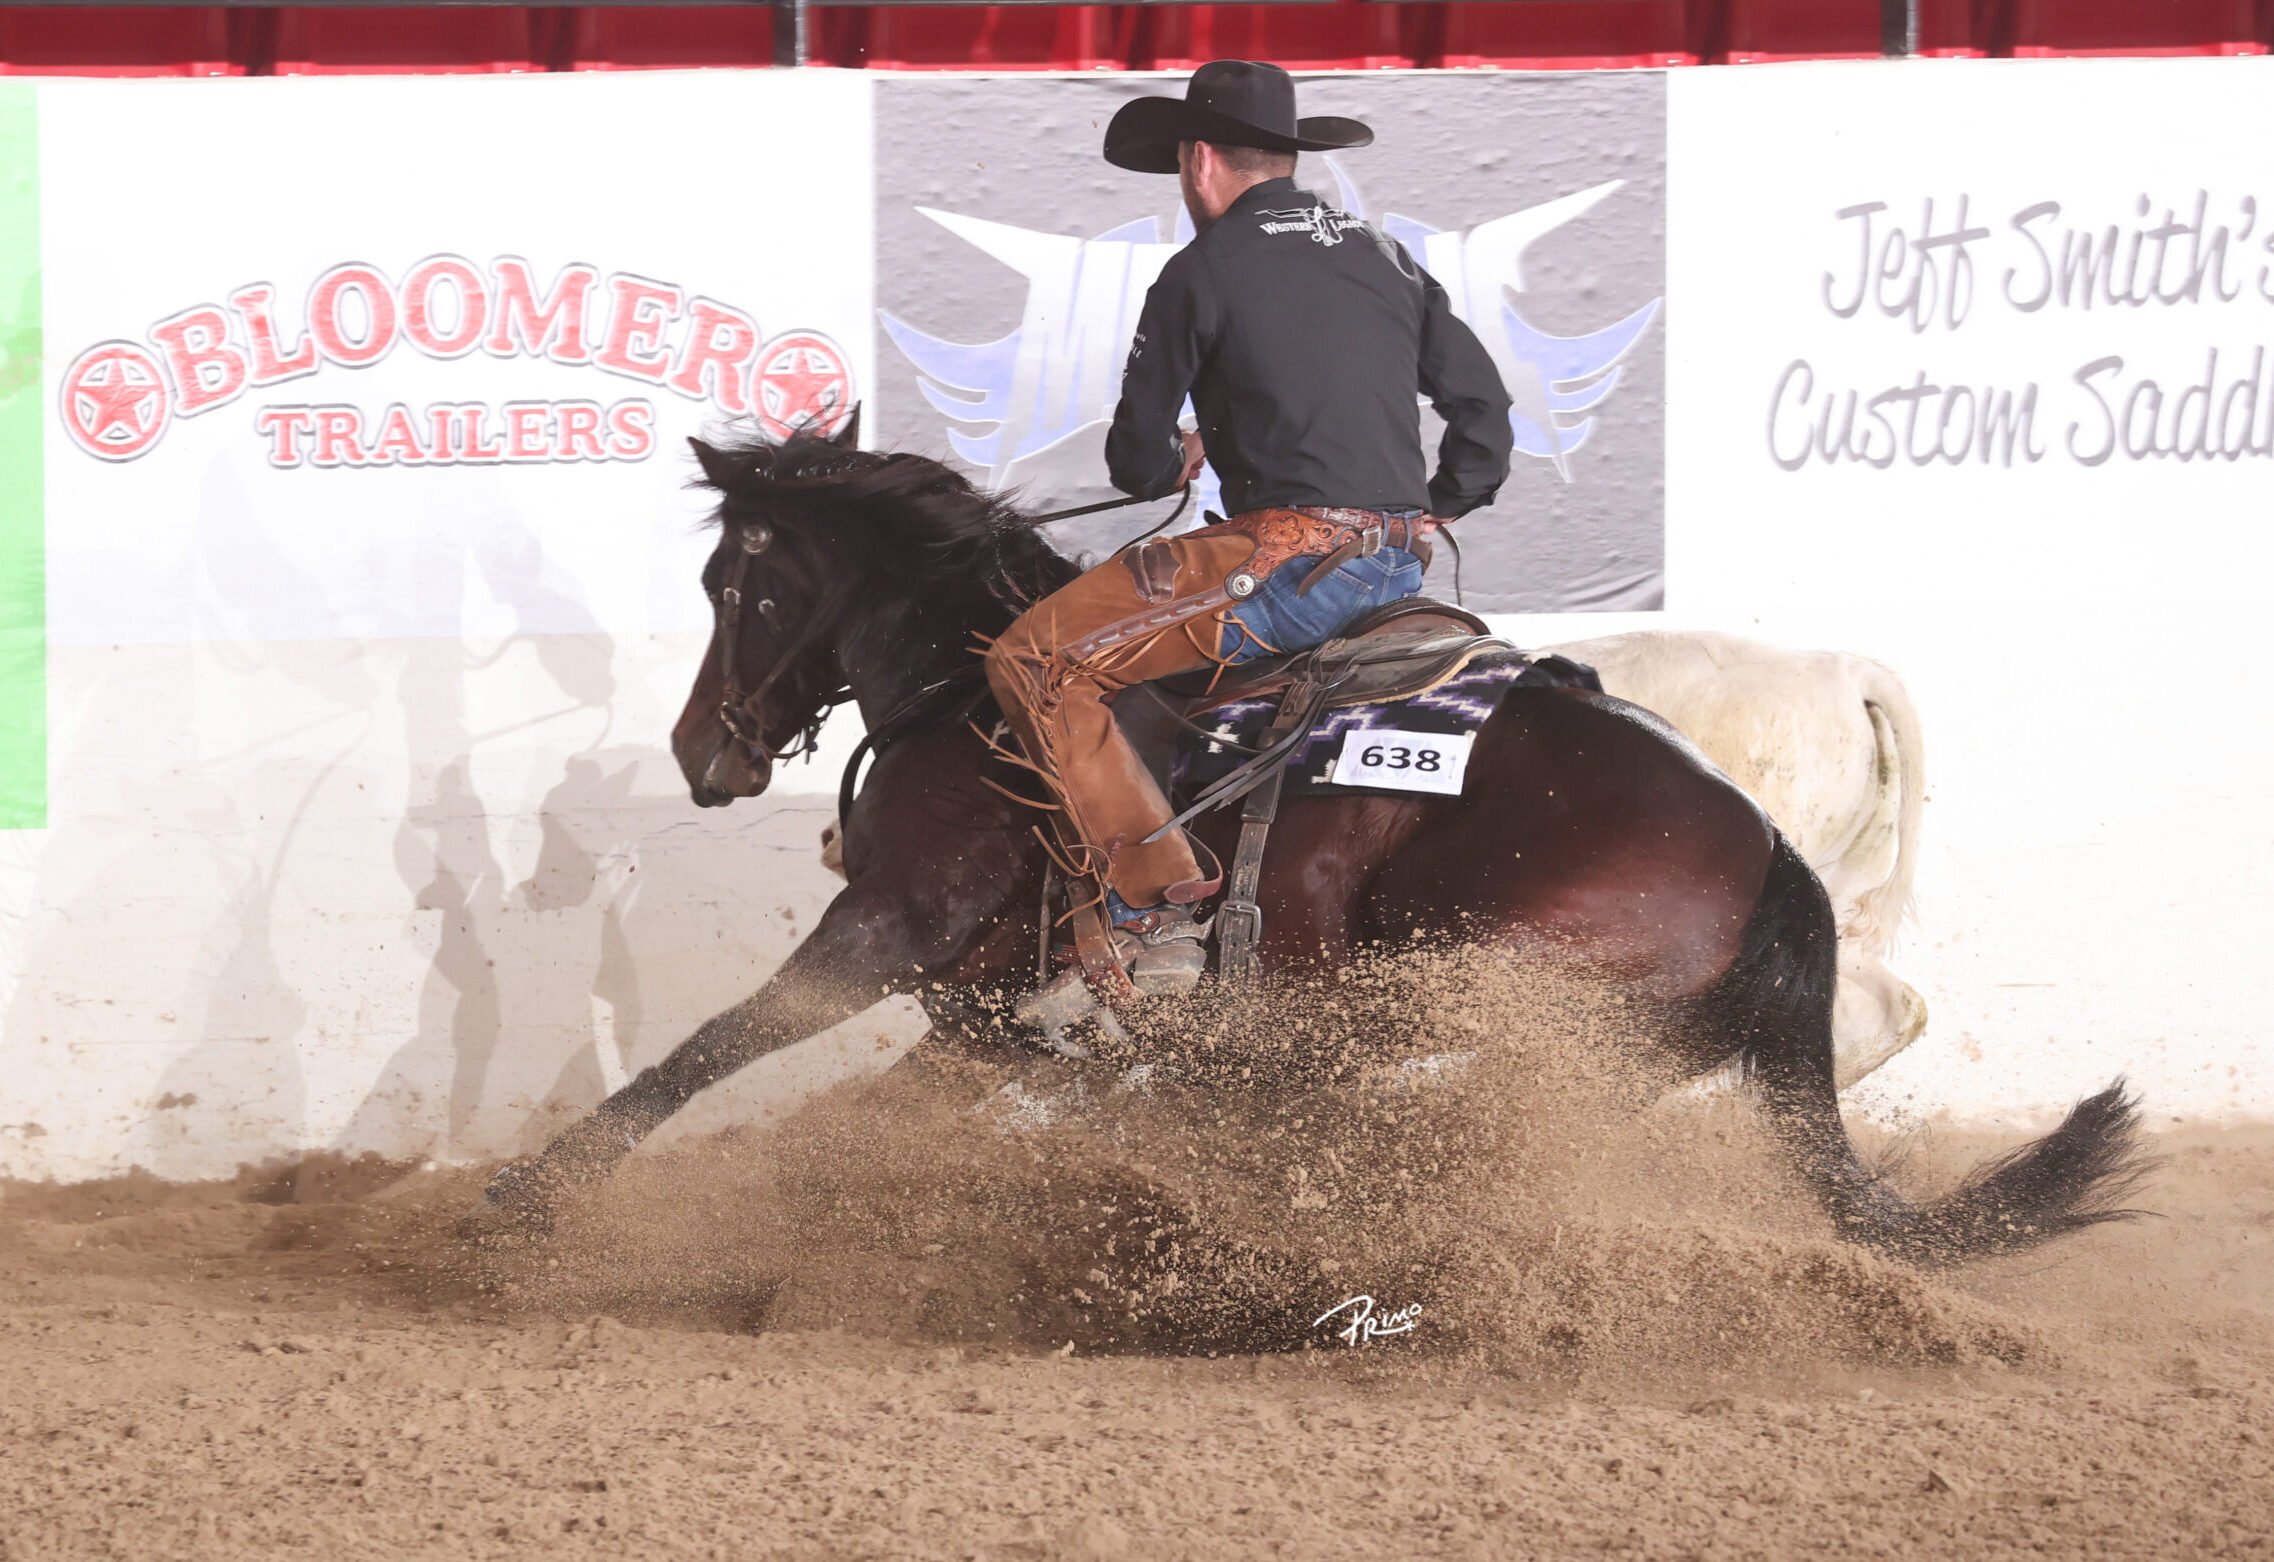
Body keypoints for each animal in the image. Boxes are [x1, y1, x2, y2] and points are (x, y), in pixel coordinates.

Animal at [482, 423, 2148, 1266]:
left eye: (741, 583)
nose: (704, 750)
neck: (971, 690)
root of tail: (1762, 860)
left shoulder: (893, 926)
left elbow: (719, 1040)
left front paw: (527, 1195)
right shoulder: (981, 996)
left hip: (1454, 988)